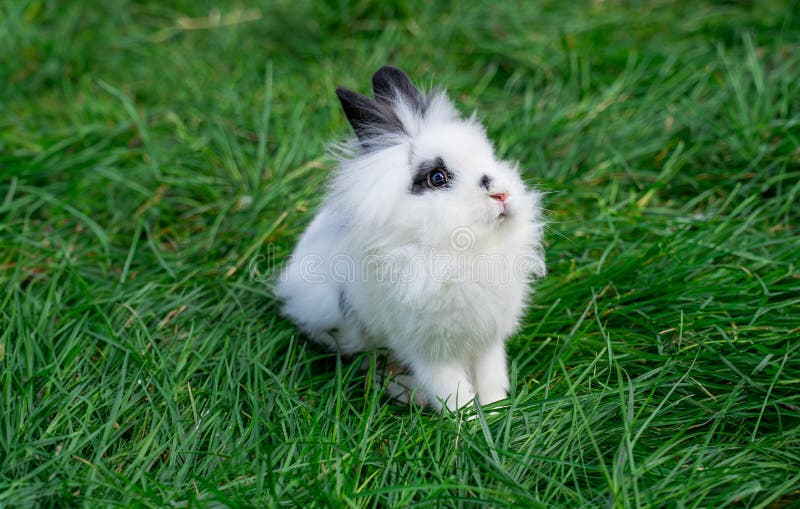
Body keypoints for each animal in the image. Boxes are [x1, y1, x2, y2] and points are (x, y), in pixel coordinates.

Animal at [276, 66, 546, 411]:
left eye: (489, 157)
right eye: (437, 178)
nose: (501, 194)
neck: (463, 251)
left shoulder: (488, 338)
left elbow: (490, 377)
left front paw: (496, 411)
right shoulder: (429, 350)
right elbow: (452, 389)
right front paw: (469, 421)